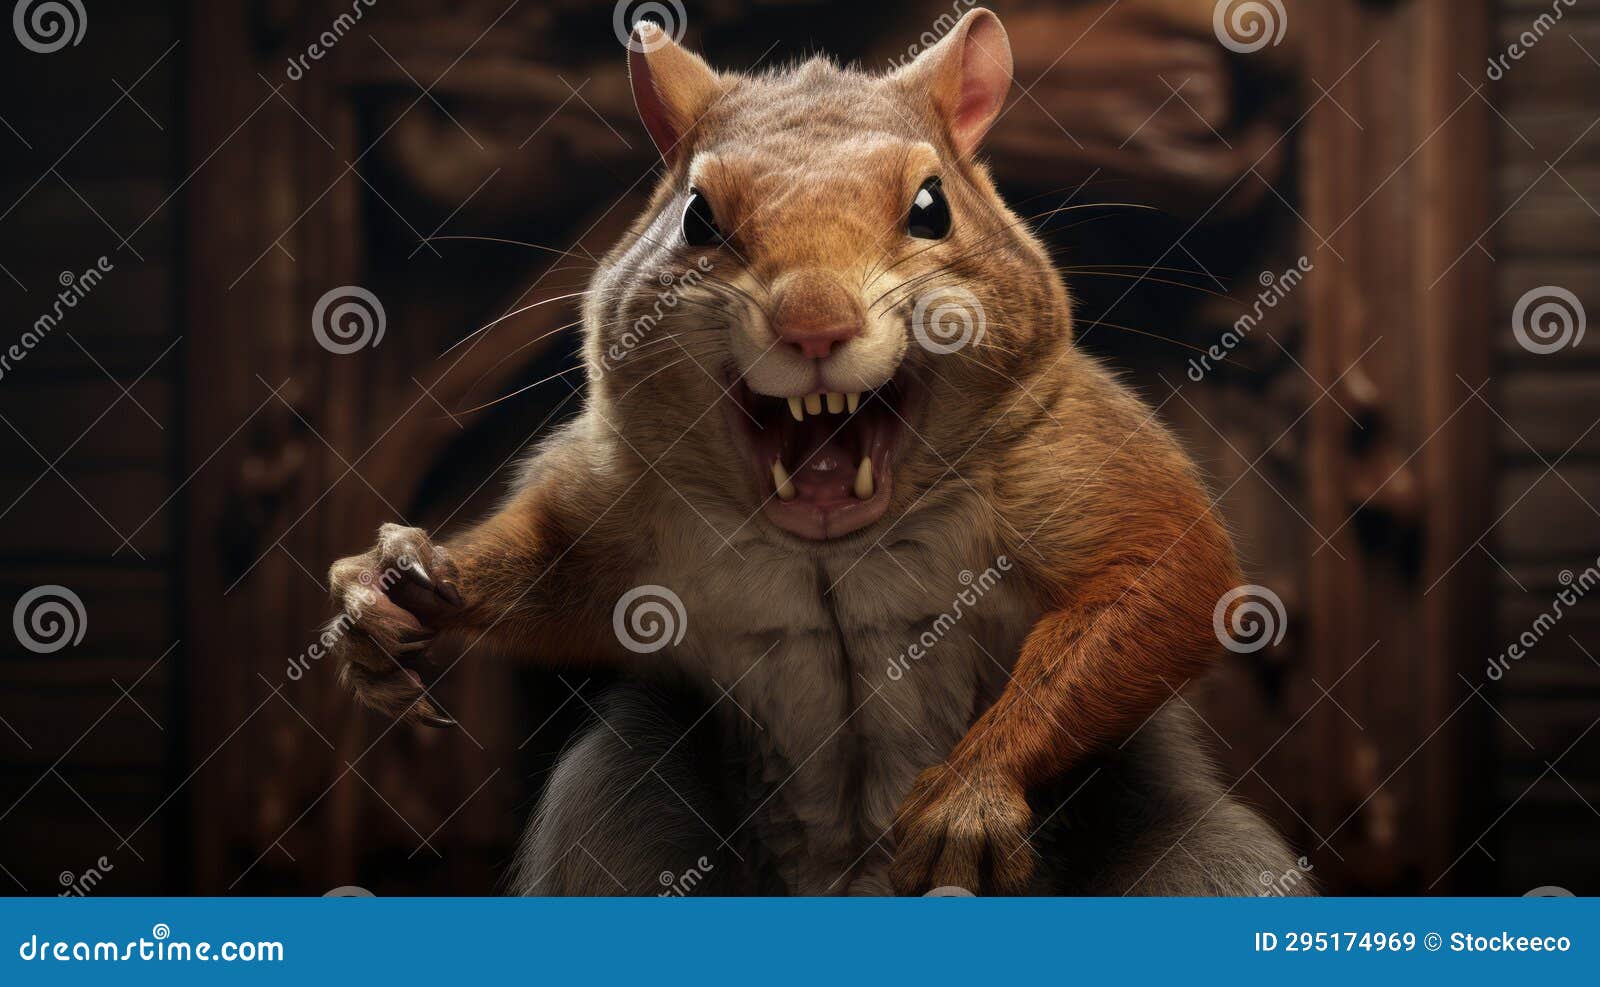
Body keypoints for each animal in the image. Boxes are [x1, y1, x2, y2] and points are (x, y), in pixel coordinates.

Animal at [325, 8, 1305, 895]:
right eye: (695, 217)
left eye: (932, 205)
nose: (814, 324)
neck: (833, 547)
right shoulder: (616, 492)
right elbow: (544, 566)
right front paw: (398, 583)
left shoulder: (1074, 453)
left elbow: (1164, 573)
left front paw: (970, 794)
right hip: (610, 811)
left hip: (1213, 864)